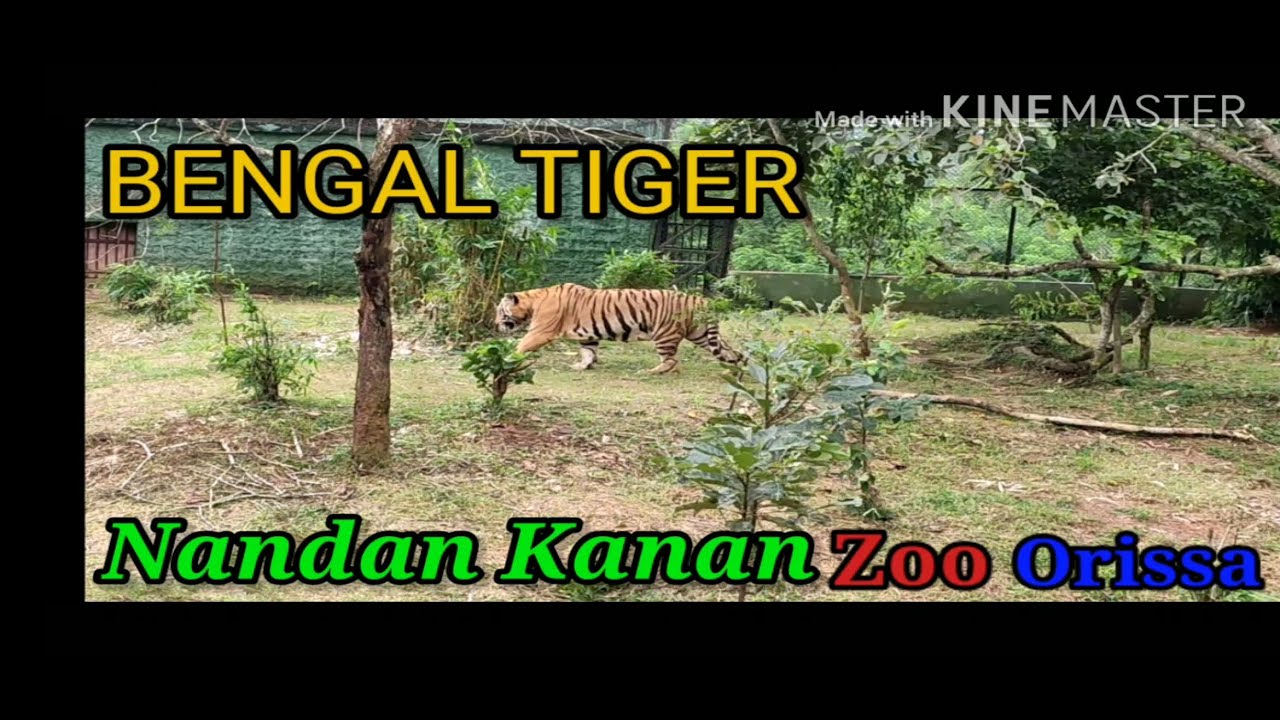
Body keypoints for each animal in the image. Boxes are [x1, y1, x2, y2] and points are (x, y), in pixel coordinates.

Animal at [494, 283, 741, 374]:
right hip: (700, 334)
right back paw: (739, 364)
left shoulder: (541, 331)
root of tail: (701, 299)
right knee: (729, 350)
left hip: (665, 334)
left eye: (500, 311)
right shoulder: (588, 336)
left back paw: (651, 372)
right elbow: (588, 352)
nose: (495, 324)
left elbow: (521, 345)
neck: (533, 301)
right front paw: (582, 366)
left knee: (672, 361)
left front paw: (507, 357)